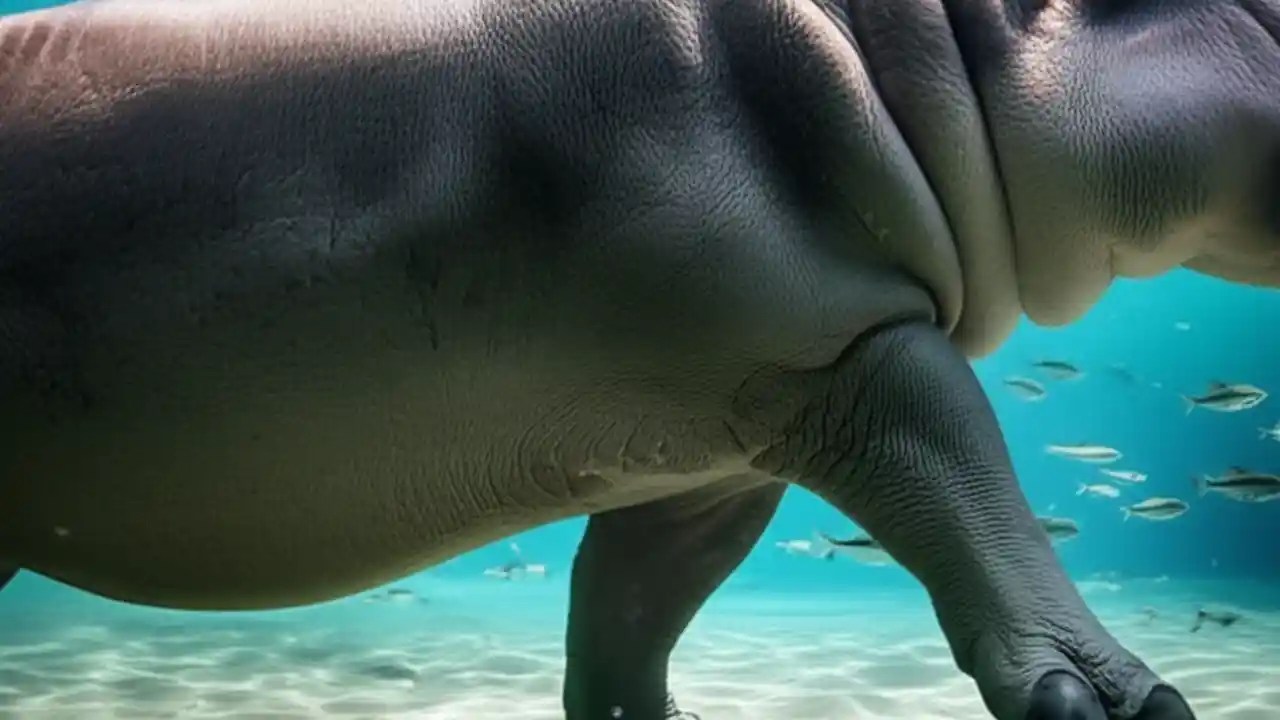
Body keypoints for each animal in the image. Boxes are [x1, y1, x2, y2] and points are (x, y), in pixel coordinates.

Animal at [1, 0, 1276, 718]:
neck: (922, 44)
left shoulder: (709, 465)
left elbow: (630, 606)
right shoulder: (852, 348)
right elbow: (974, 487)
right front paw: (1118, 699)